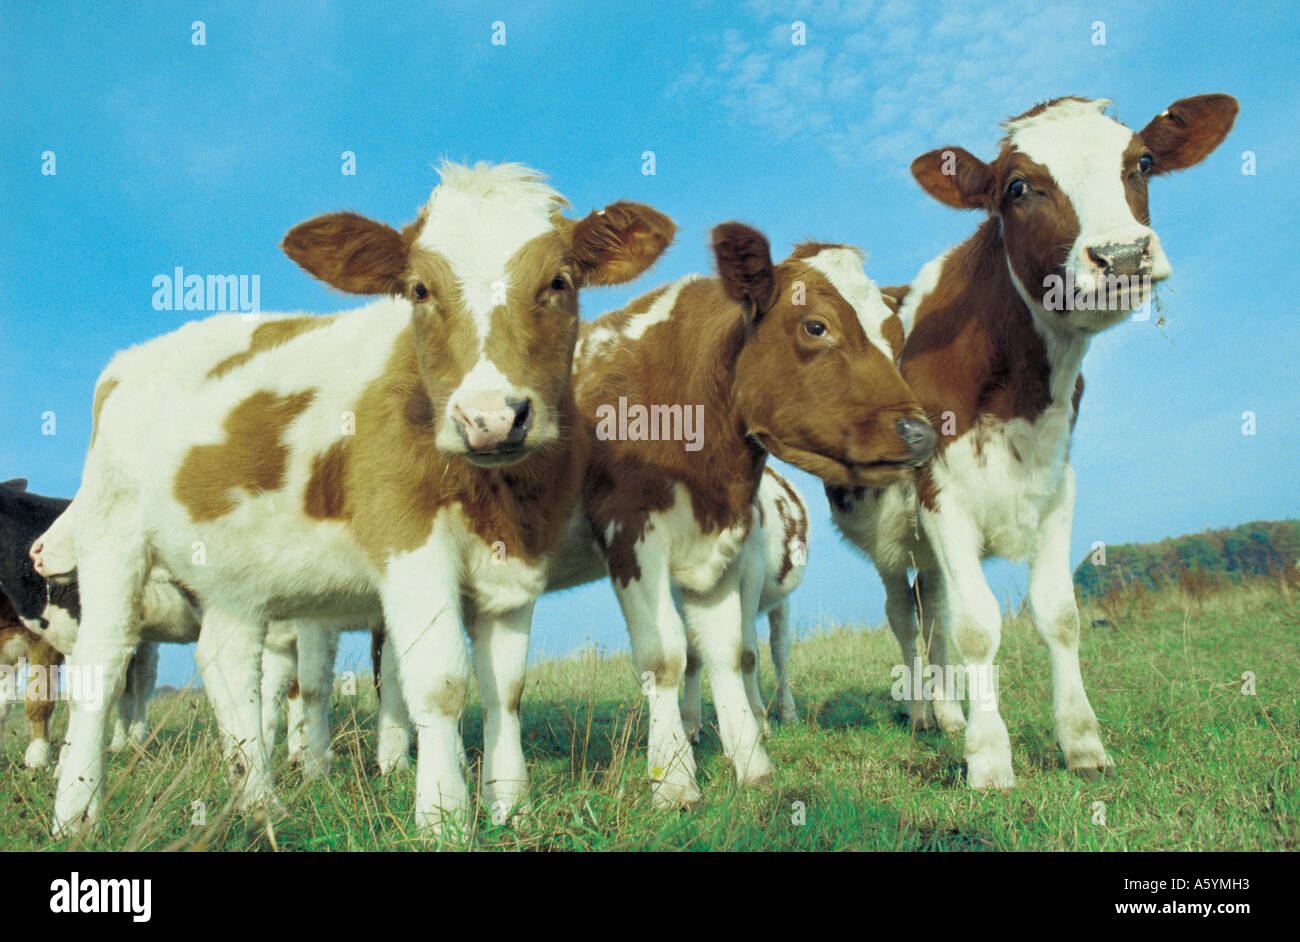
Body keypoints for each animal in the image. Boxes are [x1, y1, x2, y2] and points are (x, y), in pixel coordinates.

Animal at [44, 161, 674, 838]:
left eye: (559, 281)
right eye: (419, 290)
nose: (490, 419)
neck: (496, 495)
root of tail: (133, 358)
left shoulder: (515, 559)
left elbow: (504, 689)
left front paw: (512, 808)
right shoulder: (408, 538)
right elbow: (440, 682)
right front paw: (444, 819)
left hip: (233, 568)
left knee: (227, 661)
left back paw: (262, 805)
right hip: (112, 530)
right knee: (103, 663)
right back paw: (76, 813)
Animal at [827, 94, 1238, 790]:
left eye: (1141, 162)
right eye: (1018, 187)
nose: (1122, 255)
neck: (1015, 388)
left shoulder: (1055, 483)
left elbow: (1058, 615)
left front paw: (1081, 742)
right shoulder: (940, 494)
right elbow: (976, 626)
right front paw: (990, 756)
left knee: (931, 607)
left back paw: (948, 713)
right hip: (888, 534)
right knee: (905, 614)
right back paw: (921, 714)